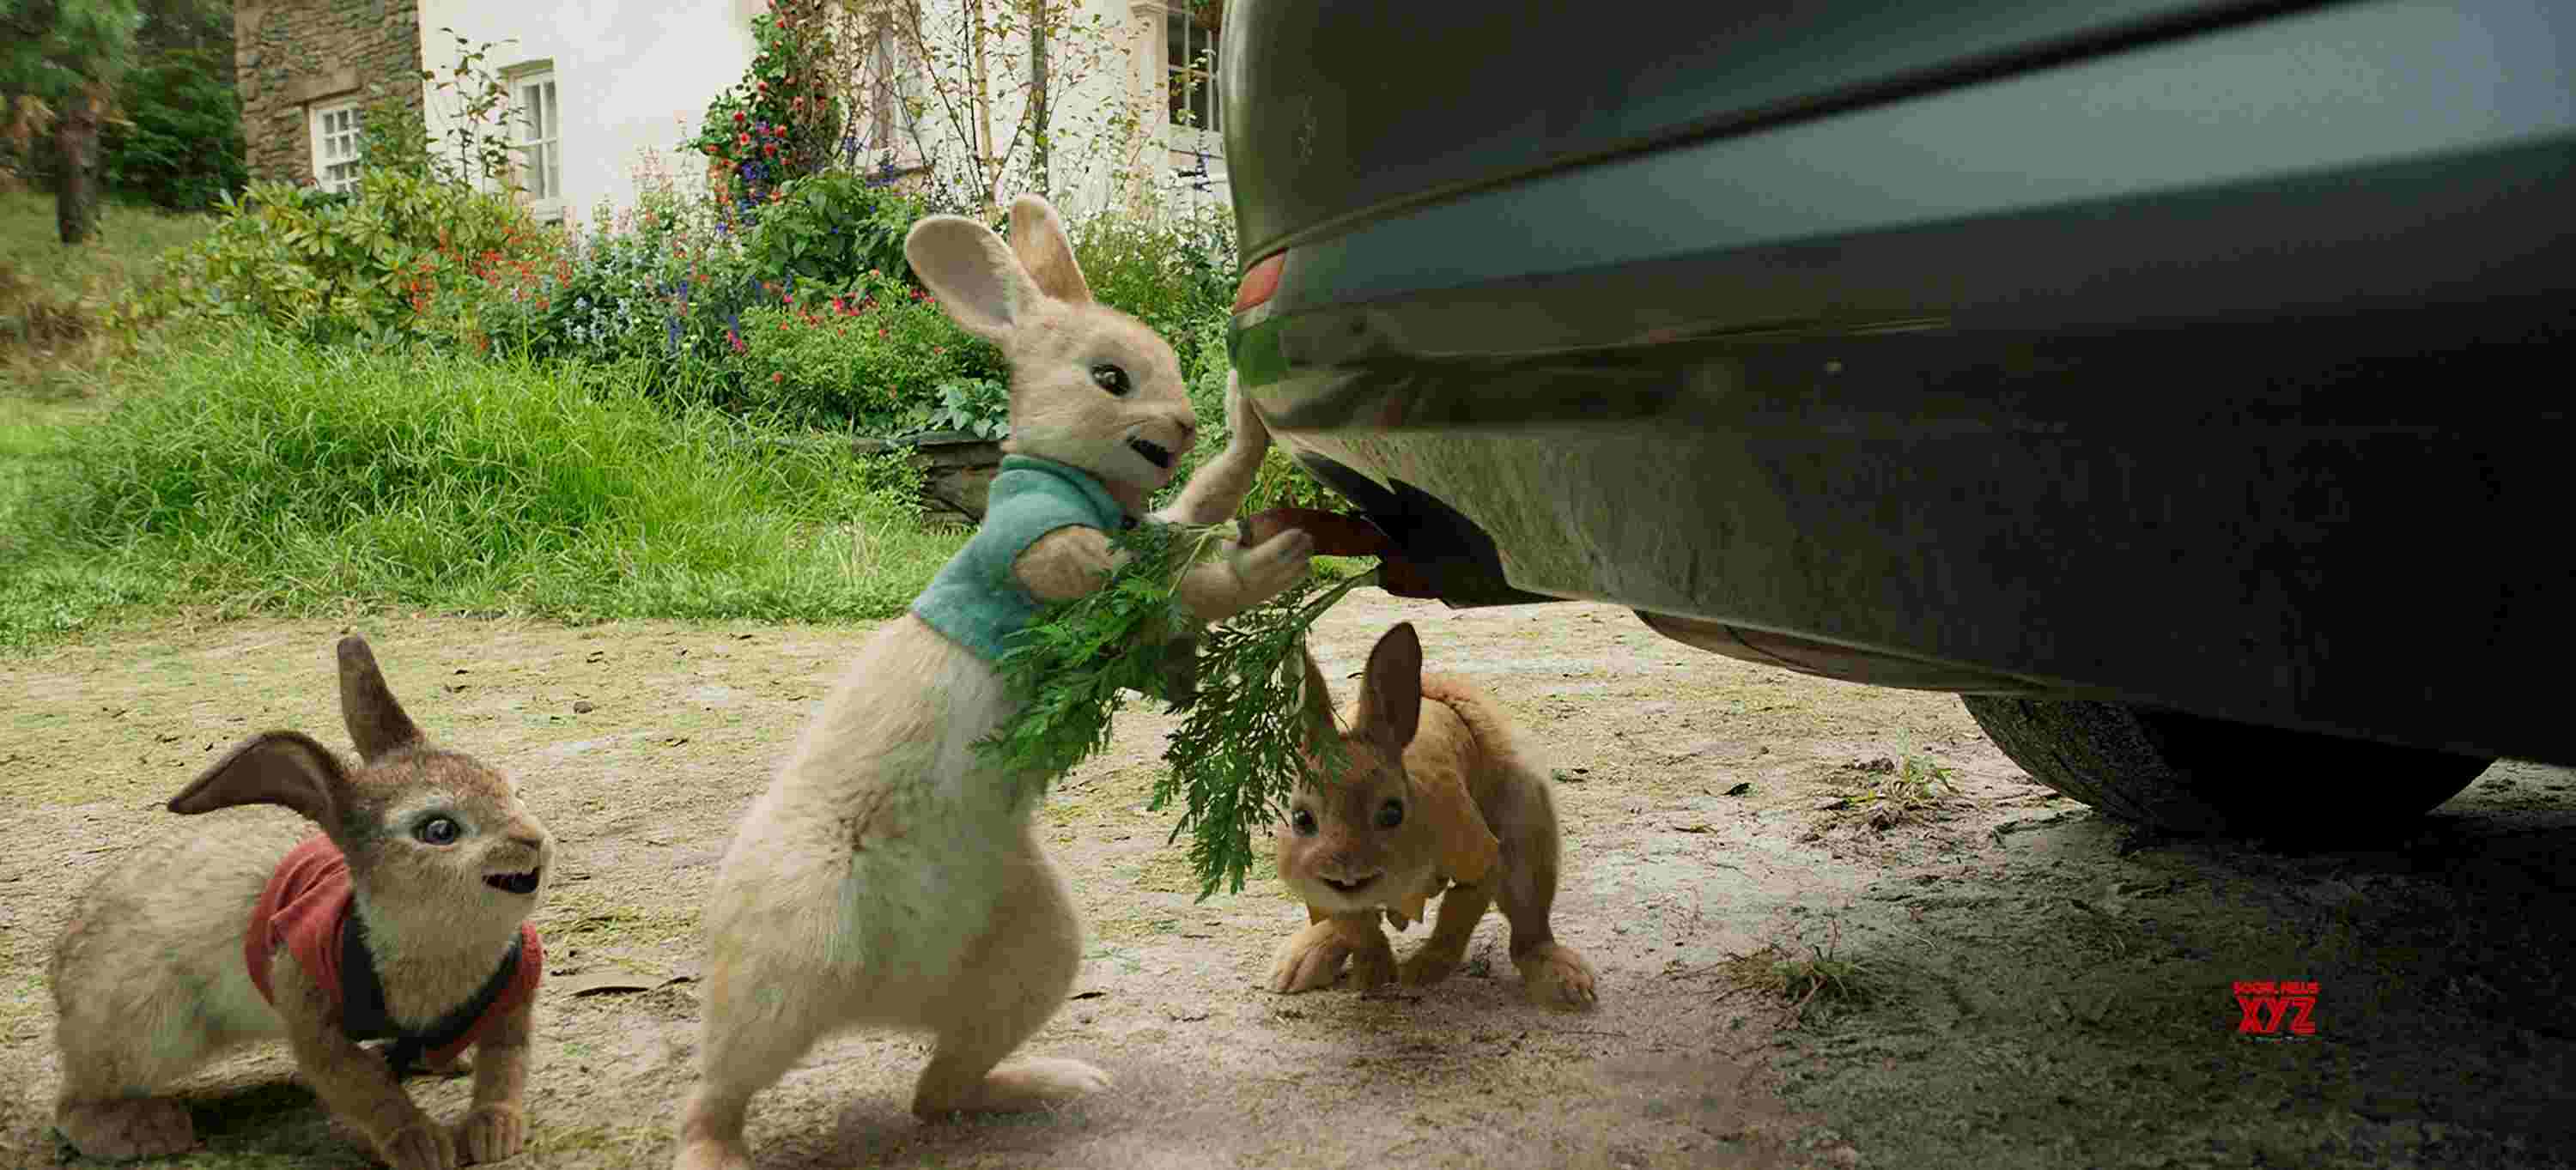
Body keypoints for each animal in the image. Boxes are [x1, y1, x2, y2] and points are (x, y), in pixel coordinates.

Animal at [49, 635, 553, 1170]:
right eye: (438, 831)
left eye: (513, 791)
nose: (534, 840)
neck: (442, 942)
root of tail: (60, 982)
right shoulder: (305, 998)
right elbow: (363, 1089)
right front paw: (421, 1144)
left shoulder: (514, 991)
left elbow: (505, 1063)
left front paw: (494, 1132)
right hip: (146, 1029)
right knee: (75, 1103)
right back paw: (145, 1131)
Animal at [670, 193, 1316, 1170]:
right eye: (1110, 377)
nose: (1179, 430)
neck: (1080, 485)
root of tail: (881, 1002)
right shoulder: (1047, 555)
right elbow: (1139, 584)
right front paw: (1270, 562)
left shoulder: (1155, 522)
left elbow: (1195, 508)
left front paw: (1250, 437)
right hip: (789, 952)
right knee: (722, 1090)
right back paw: (714, 1151)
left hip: (1032, 950)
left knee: (938, 1088)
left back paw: (1057, 1083)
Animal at [1267, 621, 1599, 1010]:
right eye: (1301, 819)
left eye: (1393, 812)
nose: (1347, 873)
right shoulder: (1321, 891)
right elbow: (1354, 926)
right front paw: (1375, 974)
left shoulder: (1482, 855)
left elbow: (1458, 914)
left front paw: (1420, 973)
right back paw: (1297, 965)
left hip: (1527, 823)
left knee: (1528, 925)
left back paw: (1566, 983)